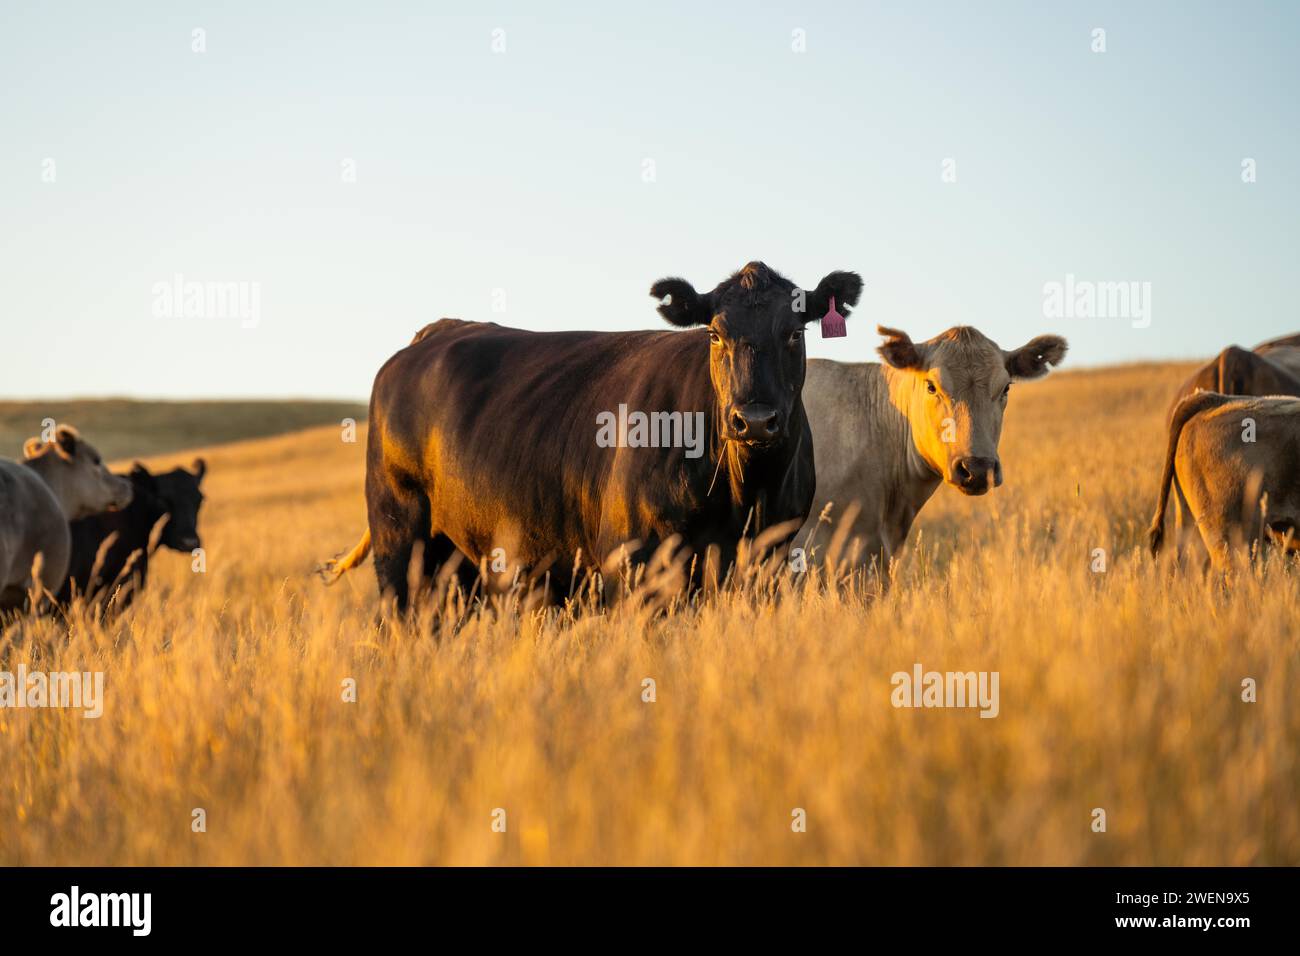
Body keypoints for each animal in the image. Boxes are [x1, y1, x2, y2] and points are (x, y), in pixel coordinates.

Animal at [324, 261, 863, 609]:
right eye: (714, 333)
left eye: (795, 332)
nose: (753, 420)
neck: (745, 491)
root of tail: (439, 330)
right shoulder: (634, 563)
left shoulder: (770, 557)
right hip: (399, 536)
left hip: (460, 561)